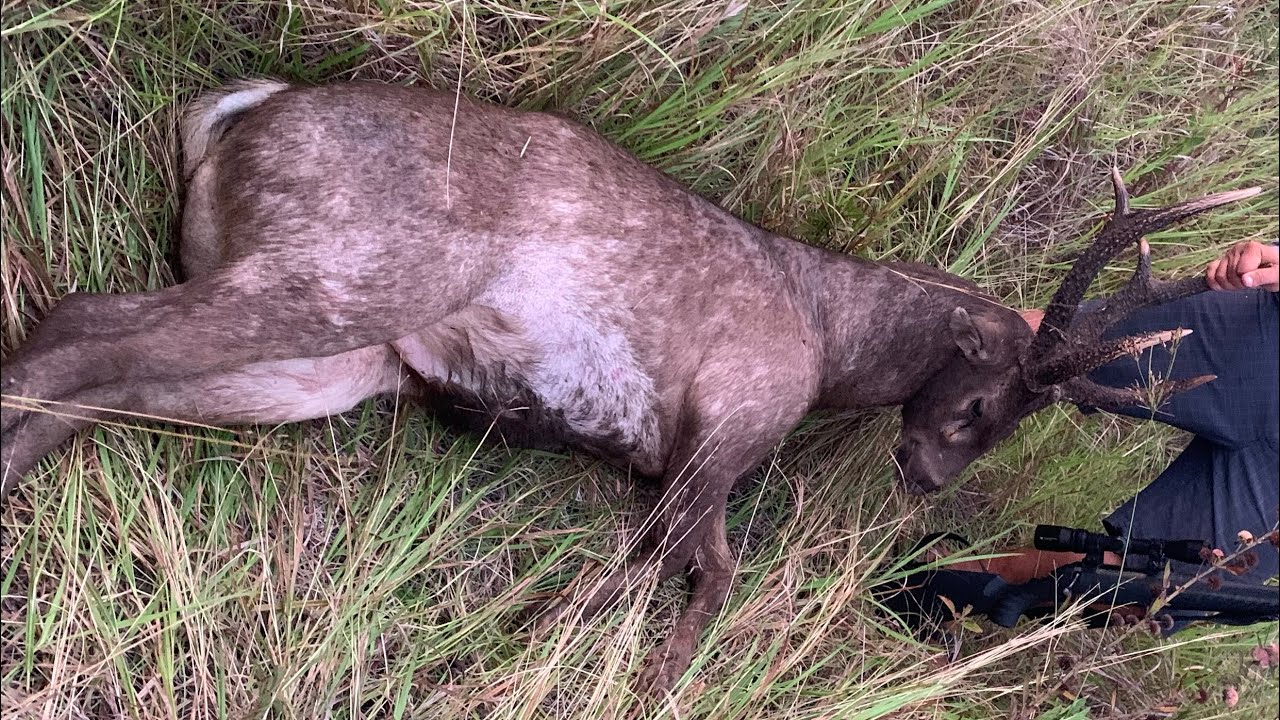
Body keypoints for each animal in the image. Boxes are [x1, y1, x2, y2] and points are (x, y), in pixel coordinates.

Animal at [0, 79, 1261, 694]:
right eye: (986, 396)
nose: (926, 470)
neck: (827, 338)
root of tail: (239, 111)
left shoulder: (677, 460)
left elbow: (673, 565)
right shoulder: (730, 419)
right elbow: (691, 572)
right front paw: (604, 670)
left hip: (334, 359)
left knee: (101, 379)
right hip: (355, 269)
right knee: (79, 327)